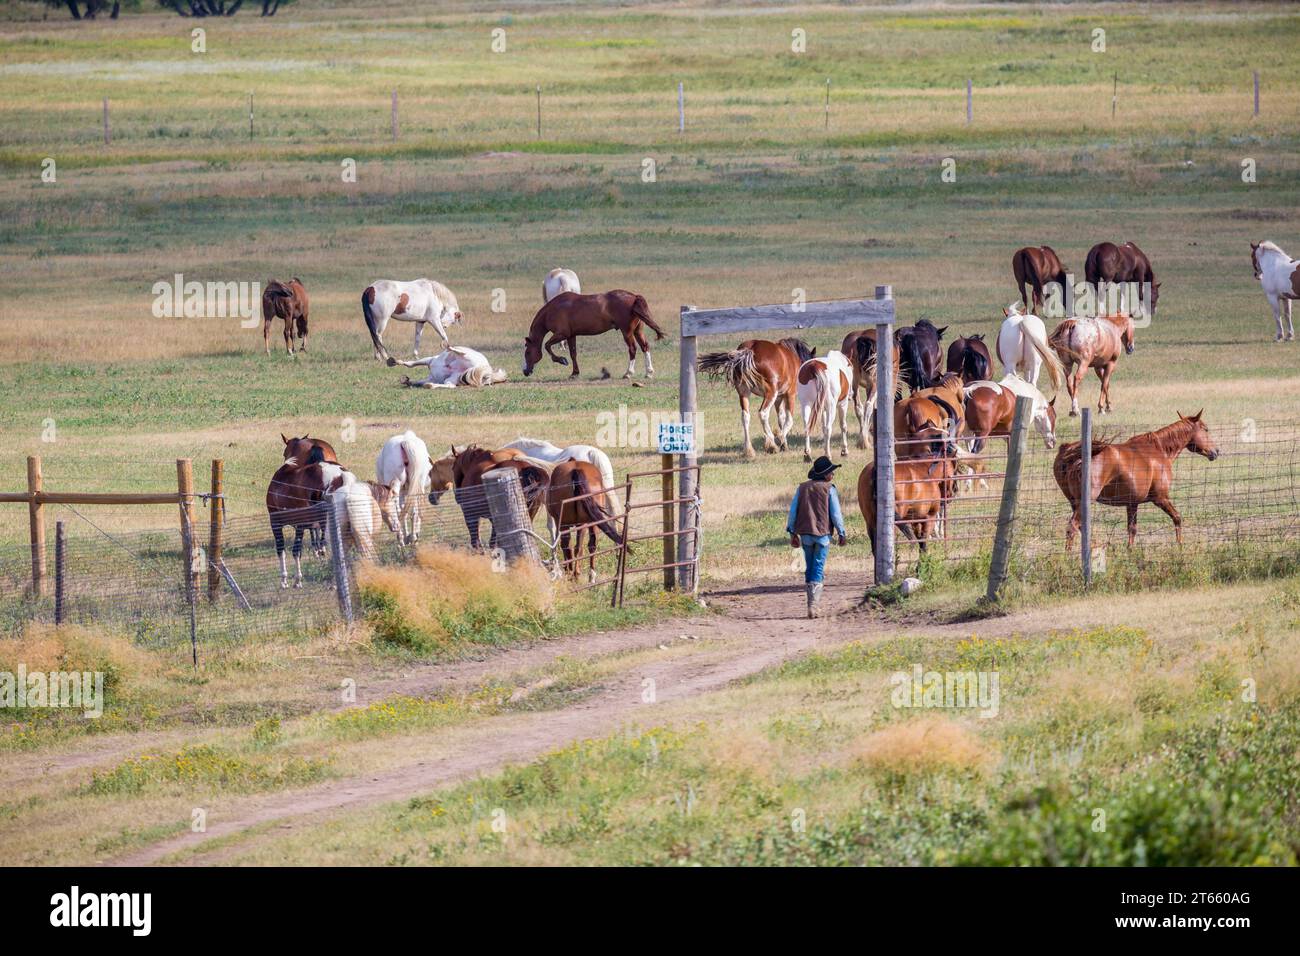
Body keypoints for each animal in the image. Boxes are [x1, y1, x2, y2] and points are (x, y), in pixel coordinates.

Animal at [522, 290, 665, 380]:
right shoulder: (571, 335)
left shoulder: (561, 334)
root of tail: (634, 297)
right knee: (645, 347)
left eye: (528, 353)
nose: (525, 371)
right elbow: (573, 354)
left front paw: (562, 360)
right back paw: (649, 373)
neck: (552, 310)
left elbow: (547, 346)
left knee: (632, 349)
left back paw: (628, 373)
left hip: (627, 332)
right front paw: (574, 373)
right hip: (637, 331)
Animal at [1053, 411, 1219, 549]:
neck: (1159, 450)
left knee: (1080, 527)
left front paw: (1130, 551)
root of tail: (1071, 452)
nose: (1216, 451)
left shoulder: (1132, 503)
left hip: (1074, 502)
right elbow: (1177, 518)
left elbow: (1132, 529)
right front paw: (1179, 546)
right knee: (1072, 527)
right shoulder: (1160, 498)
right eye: (1205, 429)